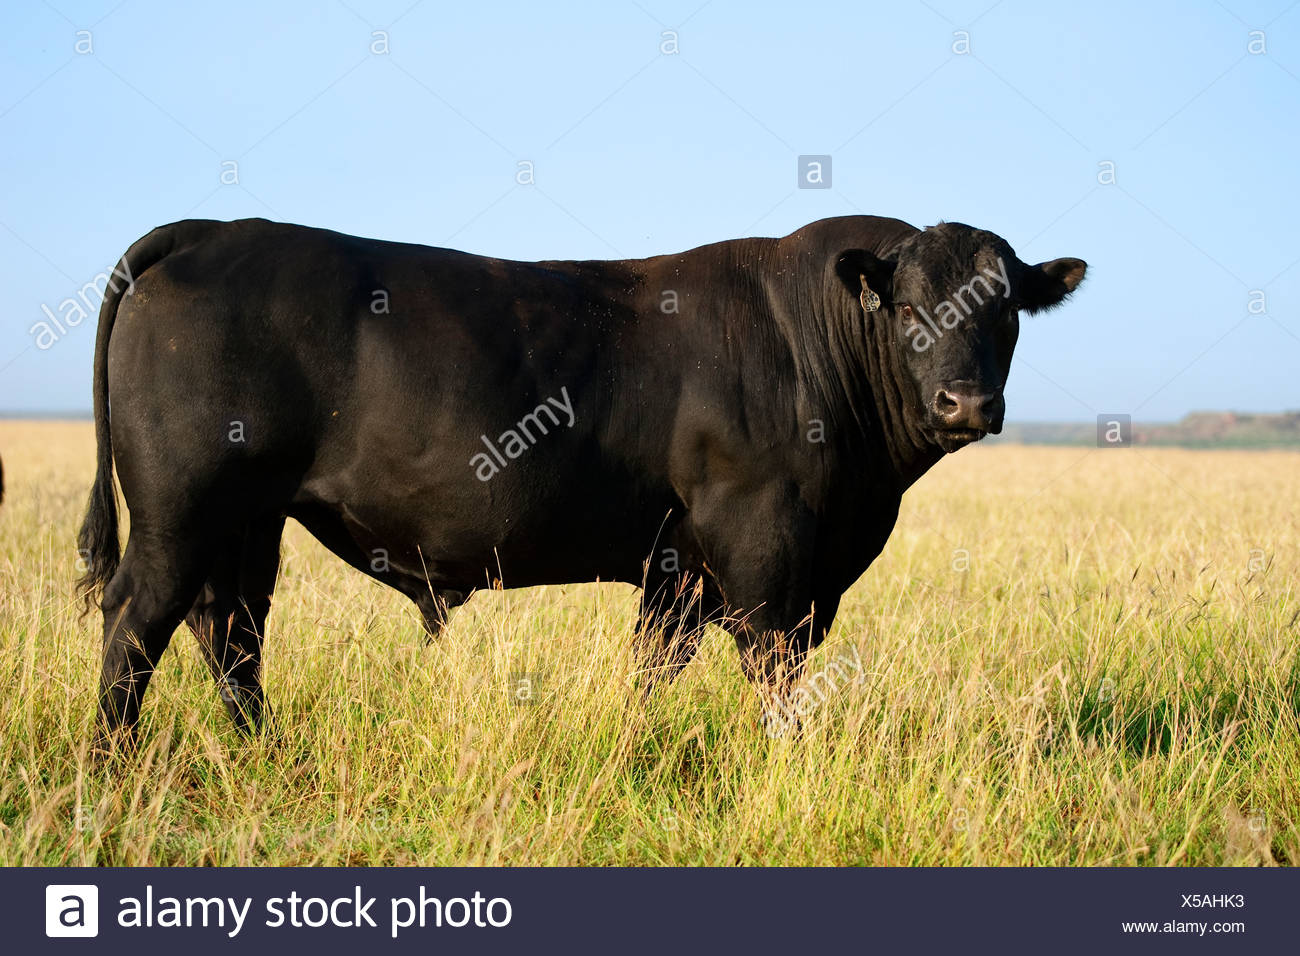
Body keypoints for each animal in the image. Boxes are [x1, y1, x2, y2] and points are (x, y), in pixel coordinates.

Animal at [76, 215, 1085, 751]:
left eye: (1006, 312)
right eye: (910, 308)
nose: (967, 402)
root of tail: (212, 231)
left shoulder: (681, 566)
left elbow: (654, 667)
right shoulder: (765, 544)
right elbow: (776, 666)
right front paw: (787, 759)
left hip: (251, 519)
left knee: (231, 628)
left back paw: (264, 749)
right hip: (180, 510)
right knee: (138, 620)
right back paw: (113, 762)